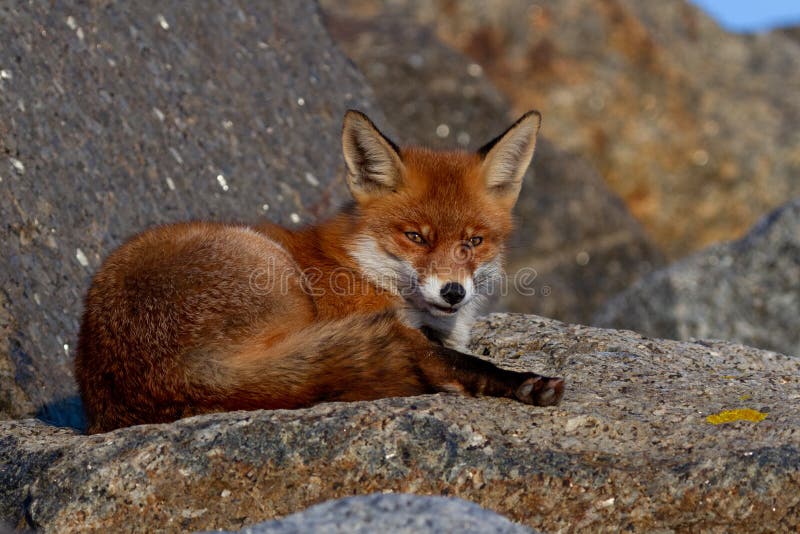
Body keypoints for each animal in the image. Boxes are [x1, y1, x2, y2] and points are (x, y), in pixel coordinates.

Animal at [75, 109, 564, 434]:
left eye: (474, 242)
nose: (453, 293)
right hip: (273, 268)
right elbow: (455, 358)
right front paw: (522, 381)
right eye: (415, 237)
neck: (362, 266)